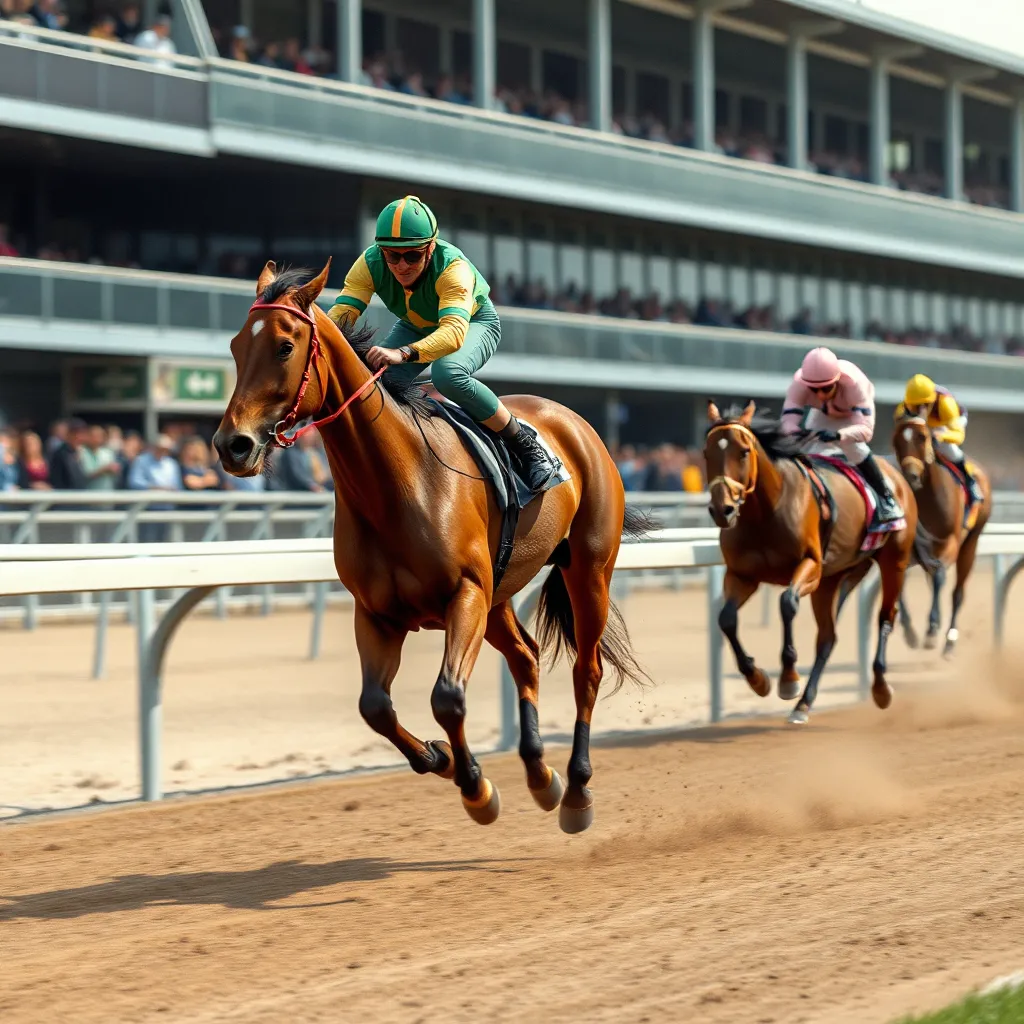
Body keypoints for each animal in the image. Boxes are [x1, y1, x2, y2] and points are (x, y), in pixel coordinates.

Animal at [213, 260, 649, 834]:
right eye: (237, 345)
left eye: (285, 346)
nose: (232, 445)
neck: (396, 485)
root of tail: (573, 421)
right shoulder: (378, 612)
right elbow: (375, 706)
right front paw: (441, 759)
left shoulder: (464, 594)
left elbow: (448, 697)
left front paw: (477, 789)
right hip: (499, 593)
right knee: (526, 656)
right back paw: (540, 774)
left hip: (588, 569)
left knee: (587, 670)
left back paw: (576, 789)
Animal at [703, 401, 917, 725]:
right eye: (706, 452)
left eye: (743, 451)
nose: (722, 509)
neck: (765, 514)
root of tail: (898, 477)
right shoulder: (742, 576)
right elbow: (726, 619)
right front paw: (757, 678)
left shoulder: (812, 566)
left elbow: (787, 603)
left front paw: (789, 678)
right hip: (833, 579)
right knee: (827, 637)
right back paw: (803, 704)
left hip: (894, 561)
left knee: (885, 617)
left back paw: (880, 688)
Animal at [891, 417, 991, 657]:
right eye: (896, 440)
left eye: (922, 437)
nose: (911, 476)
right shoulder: (909, 548)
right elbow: (899, 585)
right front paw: (910, 633)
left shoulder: (949, 544)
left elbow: (939, 578)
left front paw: (931, 629)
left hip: (970, 544)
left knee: (957, 592)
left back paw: (949, 640)